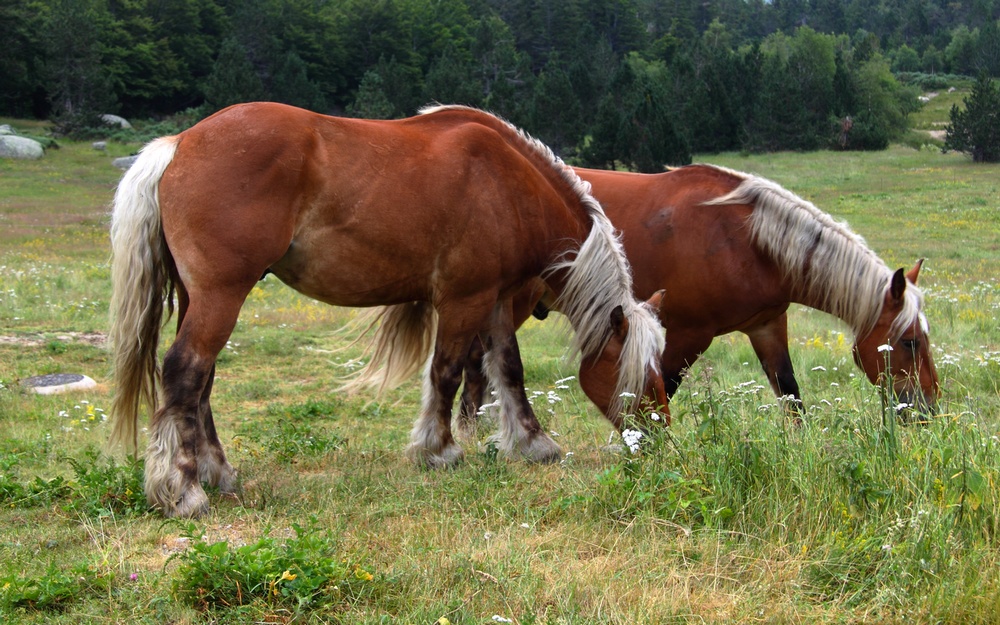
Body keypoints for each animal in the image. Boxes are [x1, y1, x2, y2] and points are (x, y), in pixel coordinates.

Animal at [107, 102, 664, 516]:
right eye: (638, 372)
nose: (659, 434)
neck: (508, 185)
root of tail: (179, 144)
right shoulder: (464, 299)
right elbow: (446, 372)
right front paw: (438, 450)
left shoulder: (496, 301)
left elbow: (508, 370)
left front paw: (533, 443)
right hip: (221, 294)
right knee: (185, 371)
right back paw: (185, 491)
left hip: (197, 297)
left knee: (200, 384)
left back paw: (218, 473)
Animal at [458, 163, 940, 432]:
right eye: (910, 342)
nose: (930, 411)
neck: (745, 240)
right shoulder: (687, 335)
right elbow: (656, 389)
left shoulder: (767, 326)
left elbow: (790, 394)